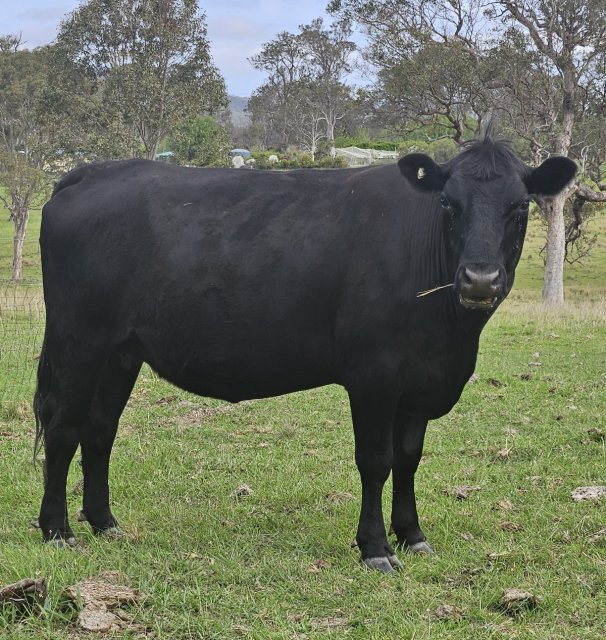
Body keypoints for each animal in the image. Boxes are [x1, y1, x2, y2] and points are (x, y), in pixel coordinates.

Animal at [34, 134, 576, 572]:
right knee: (63, 426)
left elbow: (408, 458)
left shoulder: (419, 383)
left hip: (120, 353)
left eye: (520, 207)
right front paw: (375, 548)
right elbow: (376, 460)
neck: (452, 336)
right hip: (78, 339)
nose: (480, 279)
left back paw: (105, 522)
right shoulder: (374, 376)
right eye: (448, 204)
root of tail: (93, 171)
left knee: (100, 430)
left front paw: (412, 535)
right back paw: (57, 530)